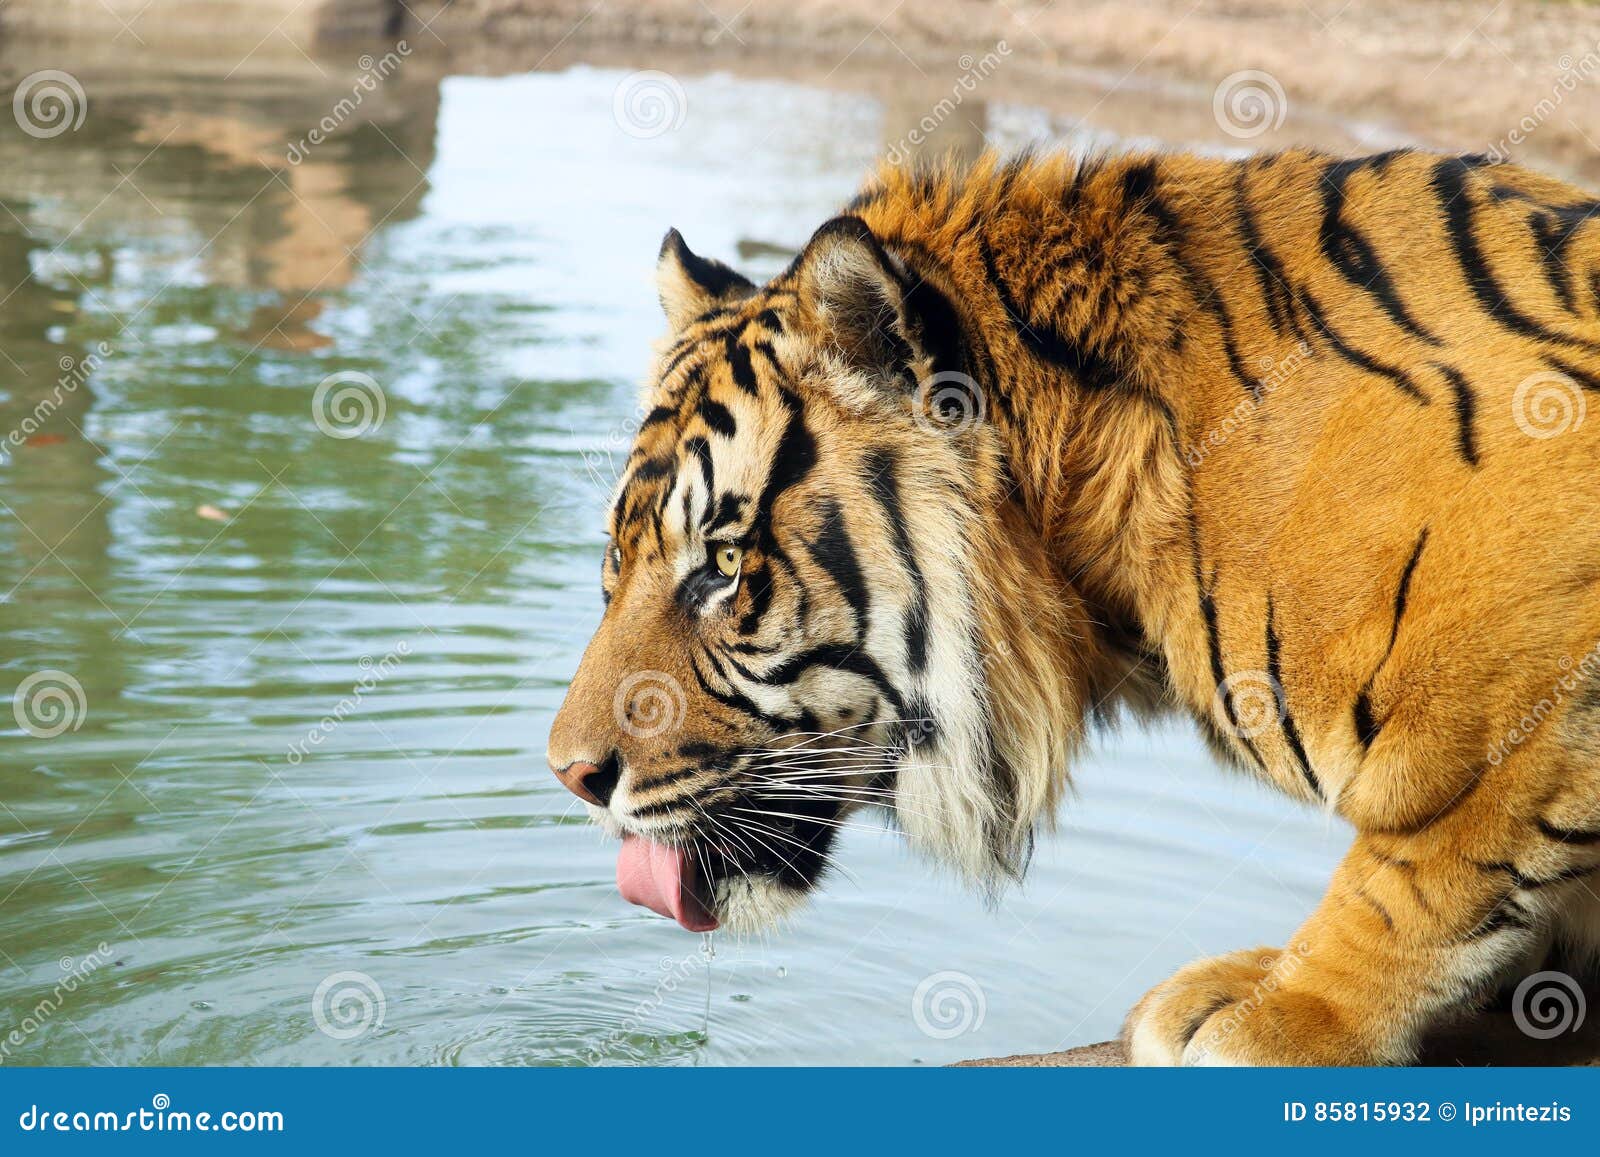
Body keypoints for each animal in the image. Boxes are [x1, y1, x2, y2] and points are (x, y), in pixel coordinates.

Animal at [546, 146, 1600, 1065]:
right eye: (618, 556)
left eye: (724, 564)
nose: (571, 777)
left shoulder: (1520, 674)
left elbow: (1430, 860)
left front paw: (1292, 1012)